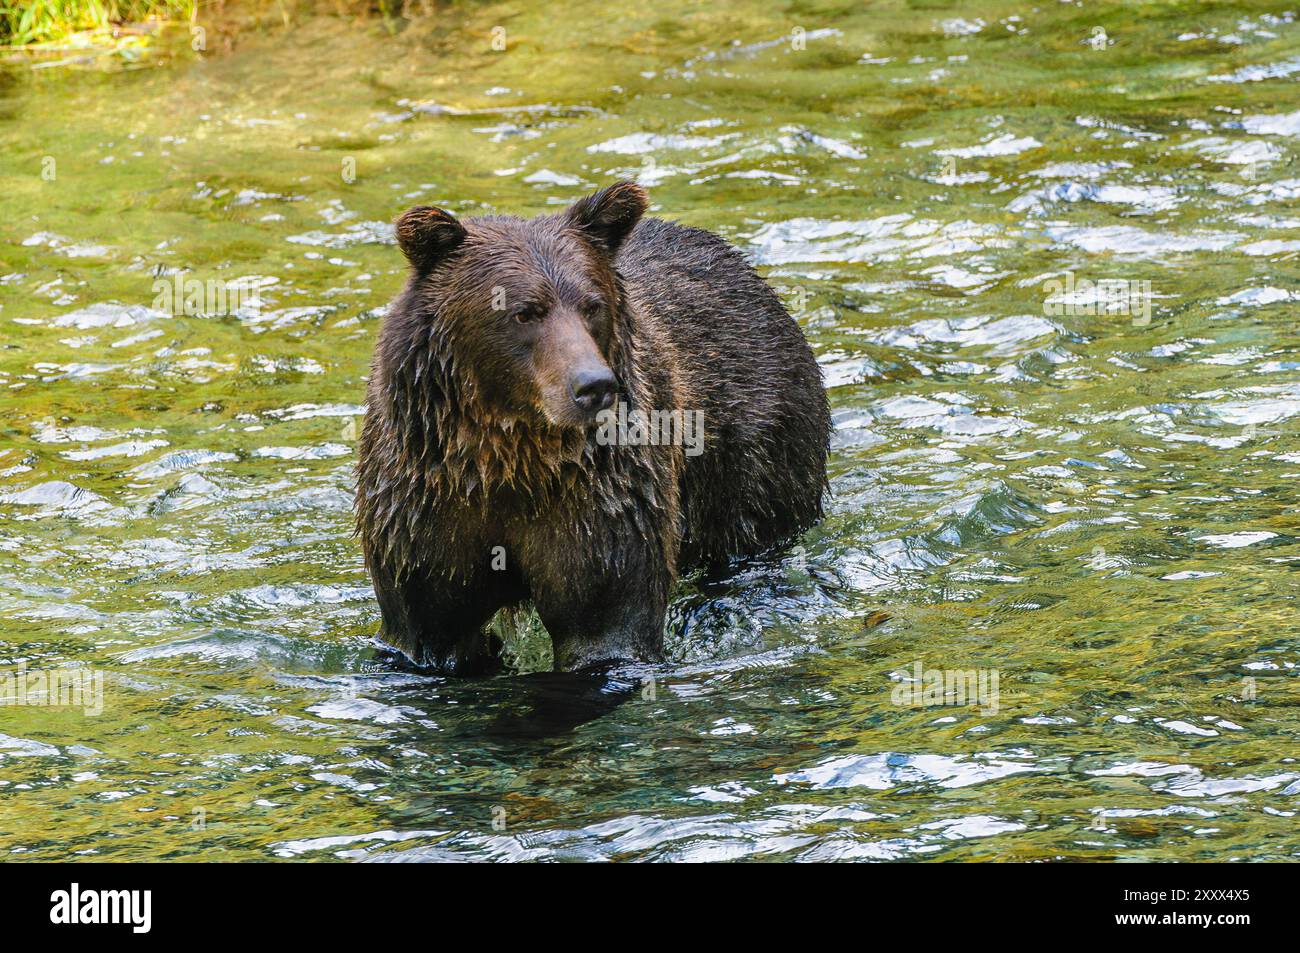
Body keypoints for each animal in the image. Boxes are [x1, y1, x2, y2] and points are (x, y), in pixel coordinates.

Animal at [355, 182, 829, 675]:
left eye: (592, 305)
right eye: (524, 312)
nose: (594, 385)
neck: (509, 458)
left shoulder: (601, 496)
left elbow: (605, 622)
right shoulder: (426, 506)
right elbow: (430, 627)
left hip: (755, 447)